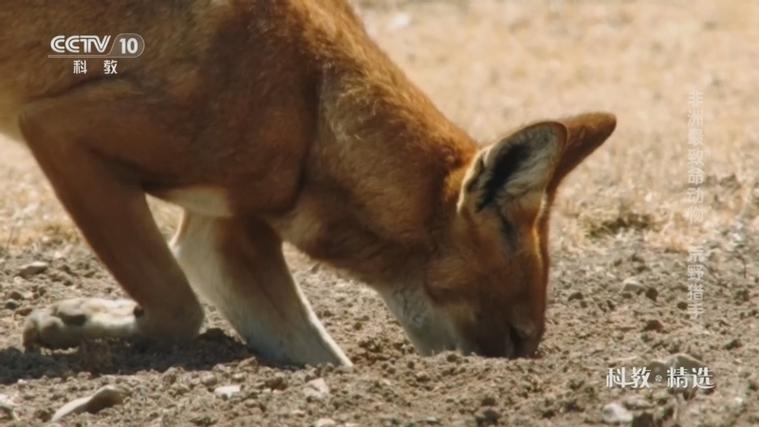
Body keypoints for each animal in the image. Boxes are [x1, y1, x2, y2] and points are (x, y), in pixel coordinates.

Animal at [0, 0, 615, 367]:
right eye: (516, 337)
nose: (513, 372)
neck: (312, 105)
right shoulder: (59, 133)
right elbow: (180, 311)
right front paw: (70, 321)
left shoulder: (217, 238)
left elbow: (324, 358)